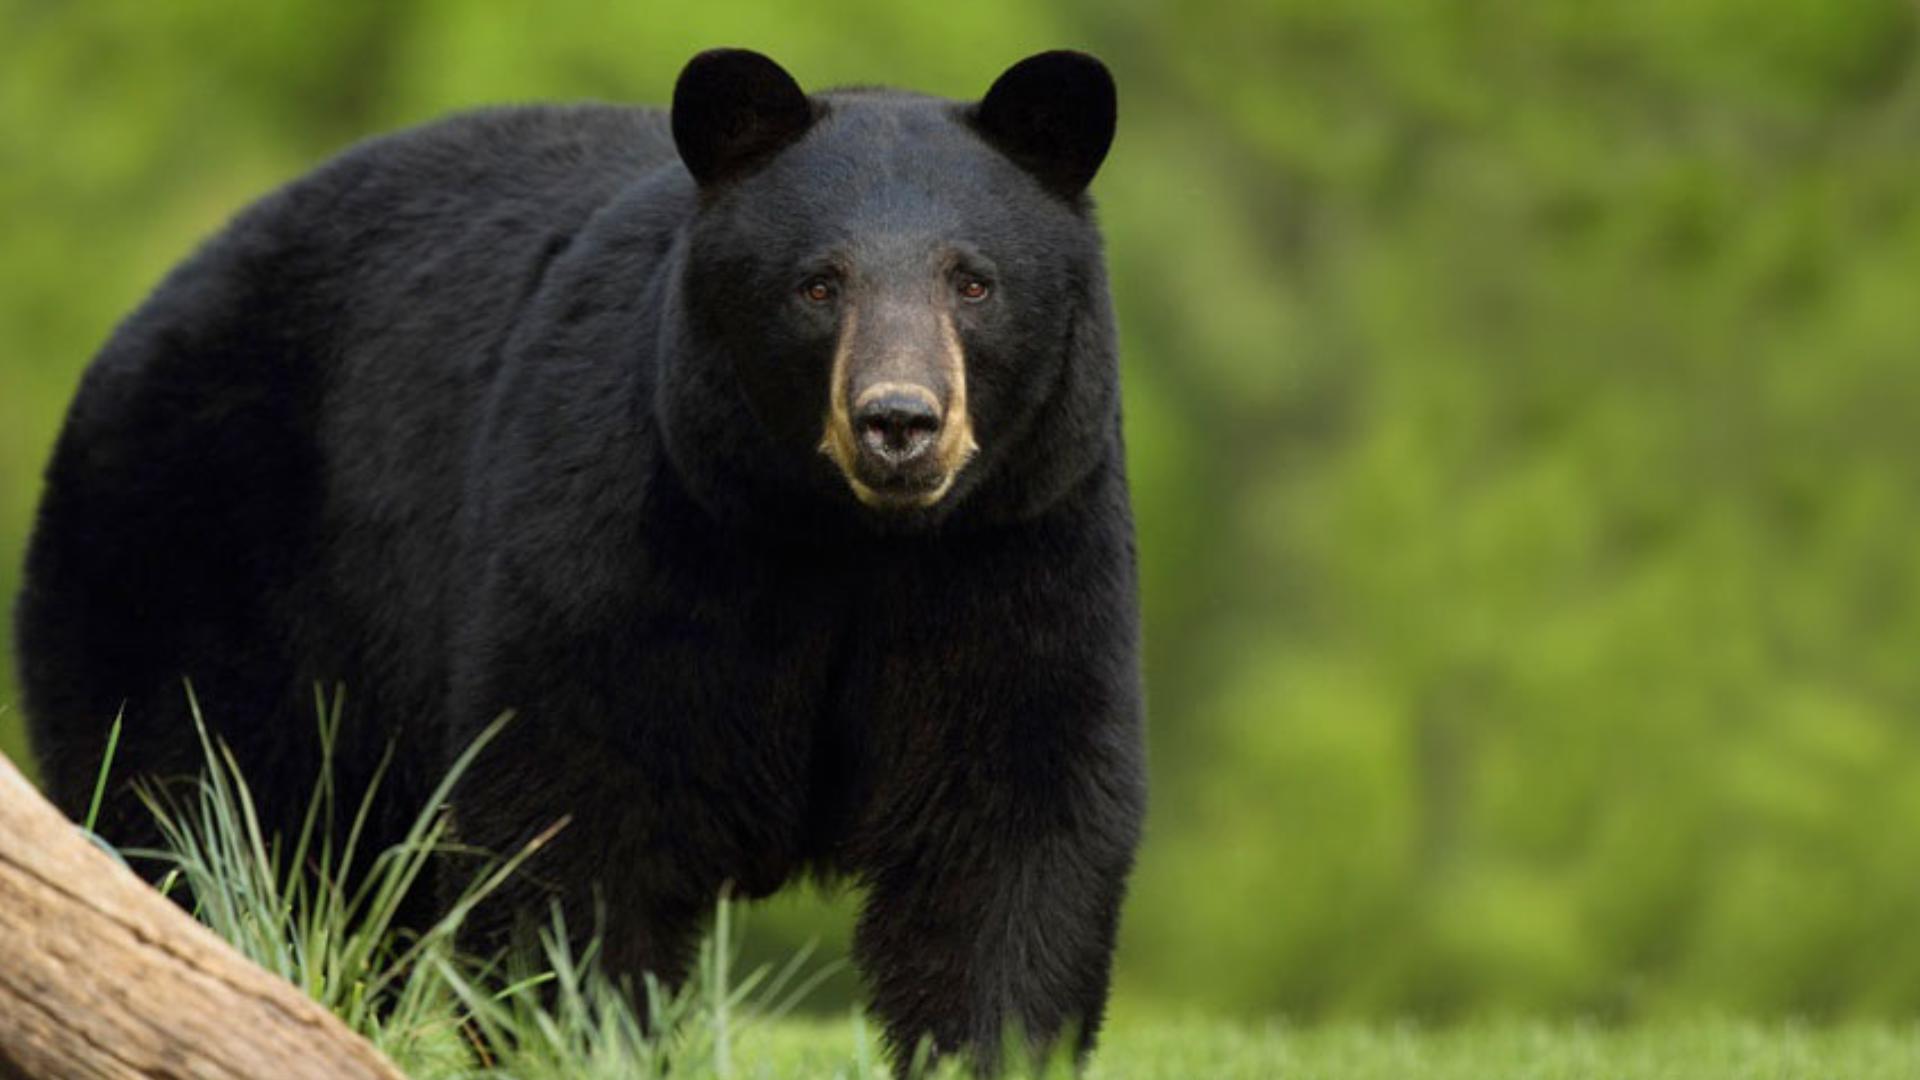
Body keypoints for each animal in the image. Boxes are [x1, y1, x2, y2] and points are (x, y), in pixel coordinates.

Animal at [13, 48, 1145, 1071]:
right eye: (818, 285)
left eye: (975, 282)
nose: (900, 422)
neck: (843, 540)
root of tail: (128, 331)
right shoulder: (627, 532)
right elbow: (577, 806)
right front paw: (584, 1037)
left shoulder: (1021, 545)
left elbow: (1011, 829)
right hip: (193, 559)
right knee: (199, 814)